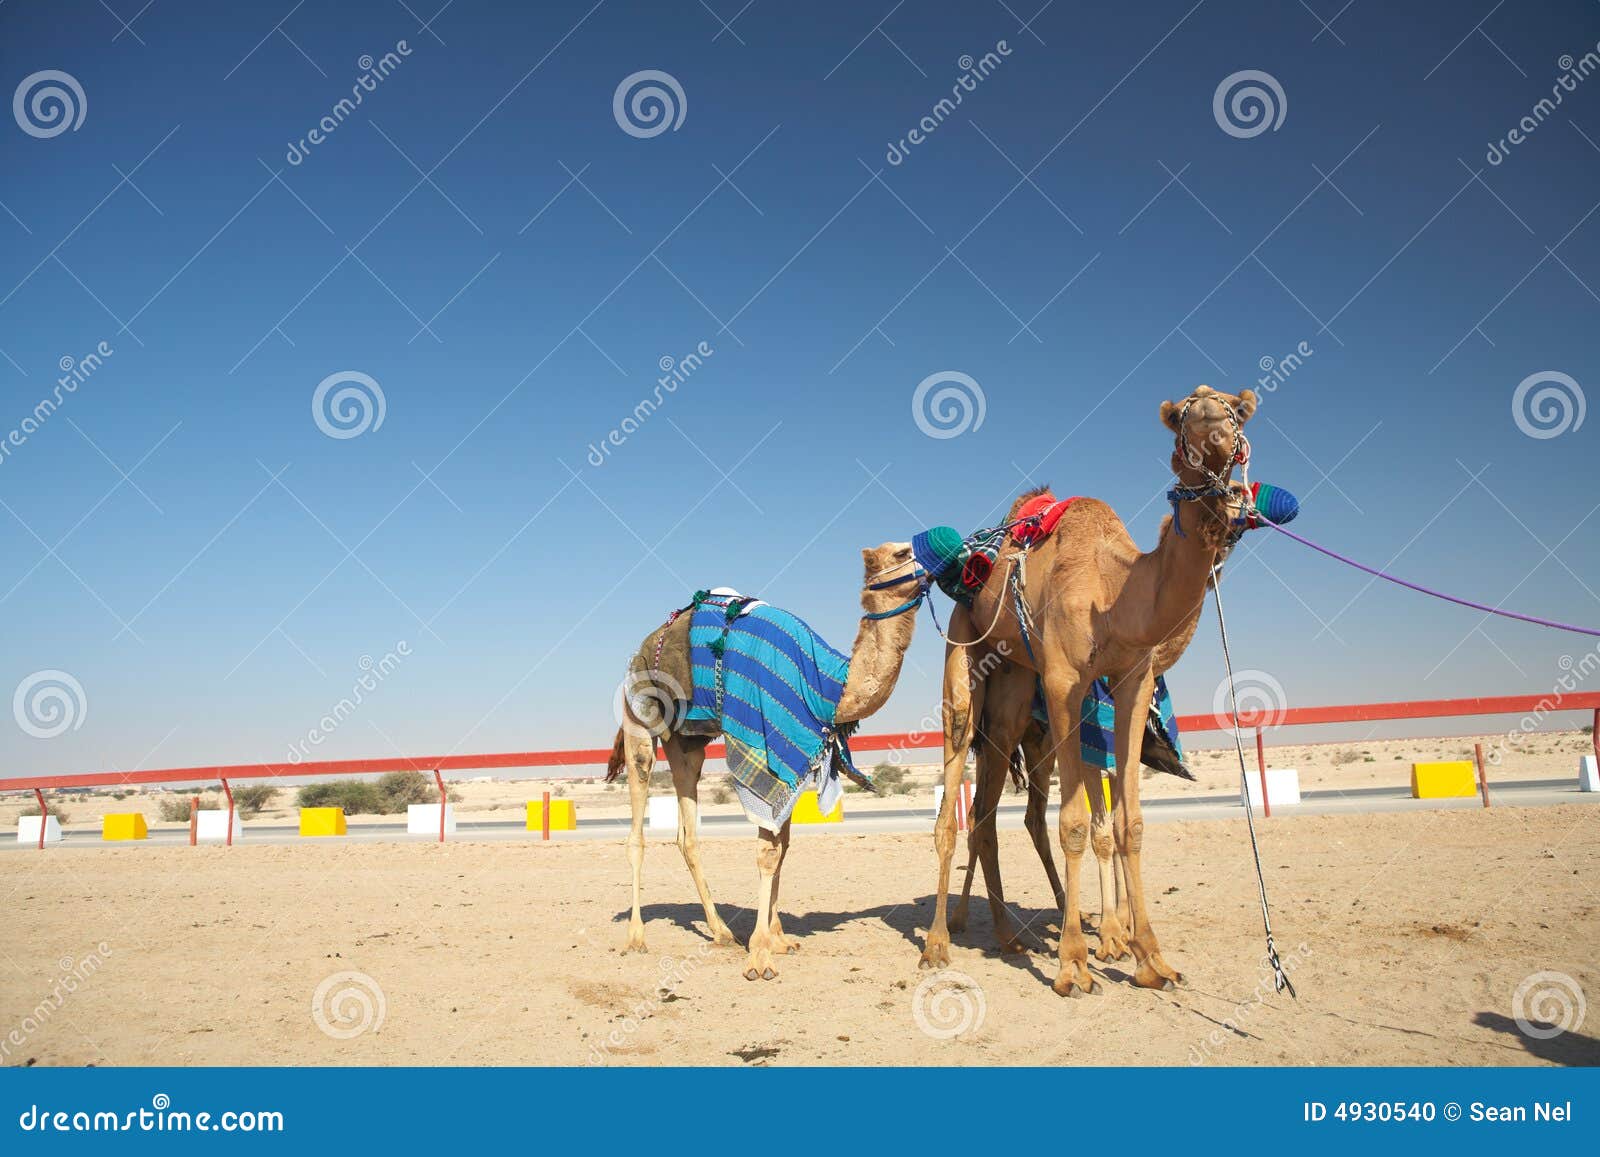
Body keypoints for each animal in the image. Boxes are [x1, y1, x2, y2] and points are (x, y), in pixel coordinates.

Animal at [607, 542, 919, 981]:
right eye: (903, 552)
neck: (827, 684)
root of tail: (641, 648)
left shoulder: (793, 757)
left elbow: (782, 845)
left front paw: (779, 938)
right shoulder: (763, 742)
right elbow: (767, 852)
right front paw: (760, 956)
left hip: (688, 743)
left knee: (688, 835)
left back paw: (721, 932)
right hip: (639, 718)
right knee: (637, 826)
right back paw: (636, 937)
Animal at [921, 384, 1257, 995]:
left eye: (1239, 413)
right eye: (1186, 420)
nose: (1222, 442)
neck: (1113, 591)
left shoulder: (1132, 682)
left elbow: (1130, 824)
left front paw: (1151, 959)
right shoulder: (1062, 683)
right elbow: (1076, 824)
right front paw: (1076, 964)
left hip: (1013, 692)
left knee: (985, 813)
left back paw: (1008, 937)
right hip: (965, 650)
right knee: (952, 795)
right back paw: (937, 943)